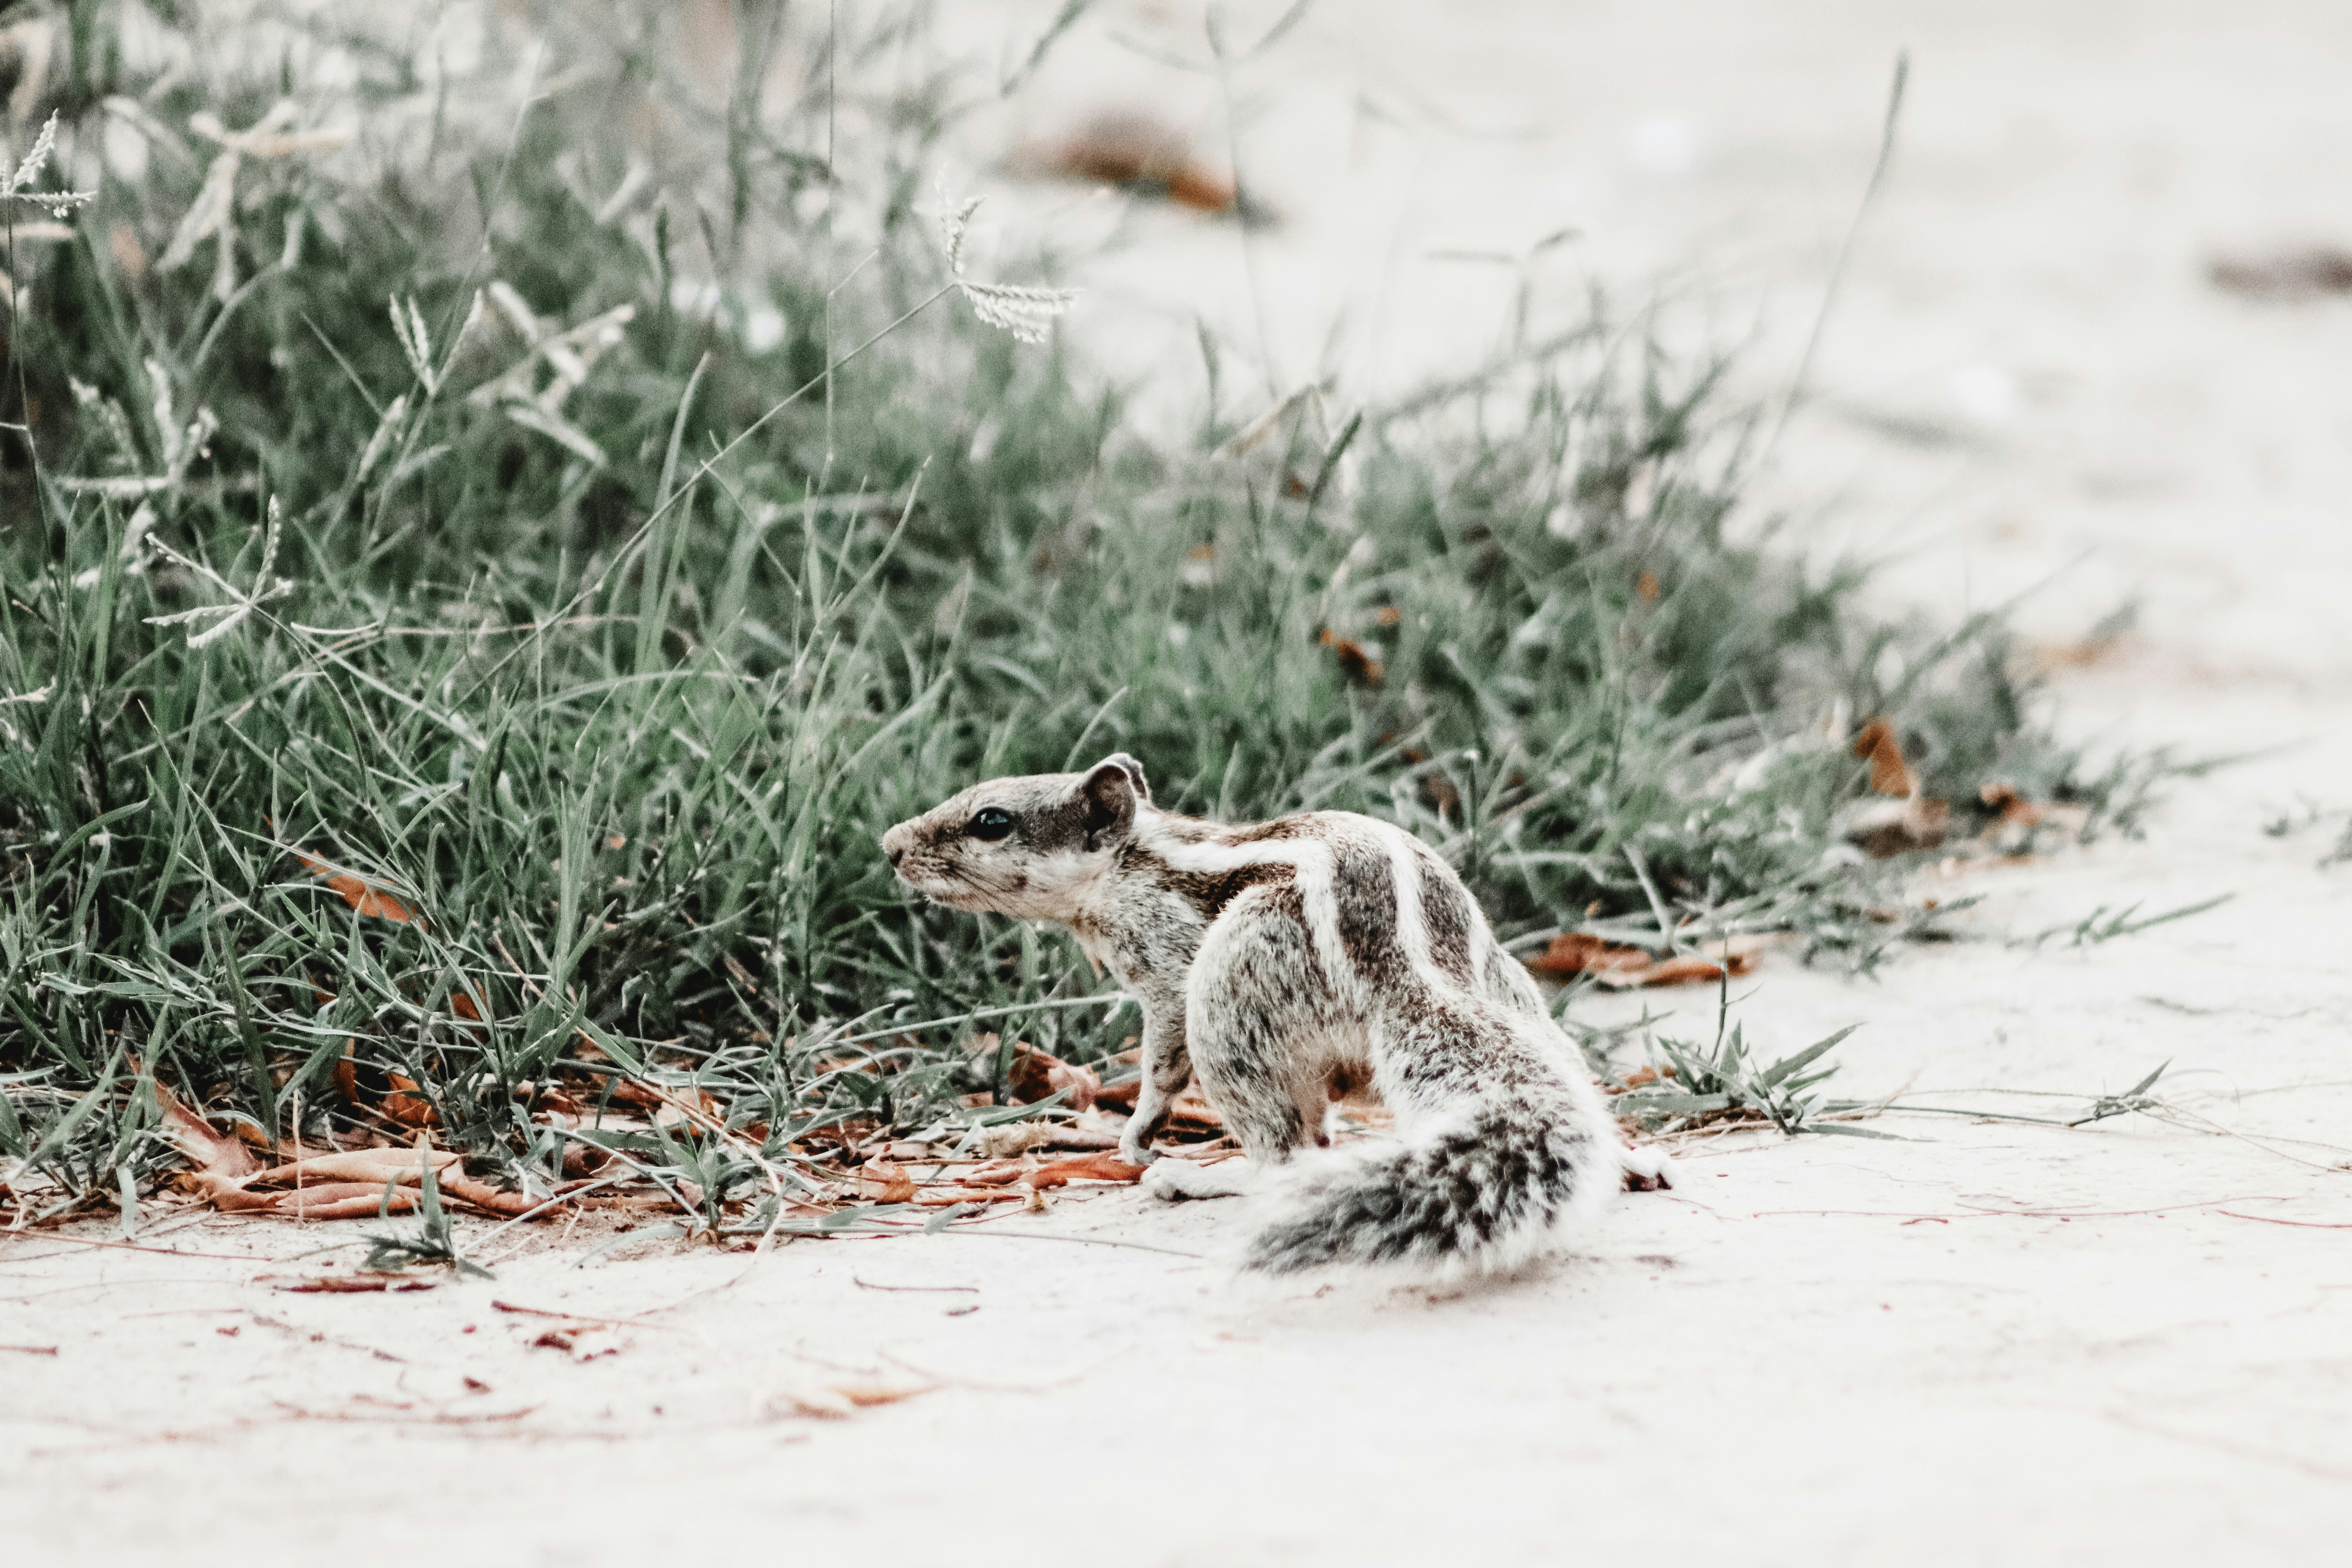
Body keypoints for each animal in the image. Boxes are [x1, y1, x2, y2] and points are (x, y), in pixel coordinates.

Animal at [882, 753, 1673, 1274]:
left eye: (991, 821)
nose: (891, 846)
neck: (1135, 860)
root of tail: (1408, 971)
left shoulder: (1165, 969)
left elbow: (1162, 1059)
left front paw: (1138, 1132)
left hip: (1231, 992)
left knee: (1286, 1156)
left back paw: (1205, 1178)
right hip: (1509, 992)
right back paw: (1634, 1158)